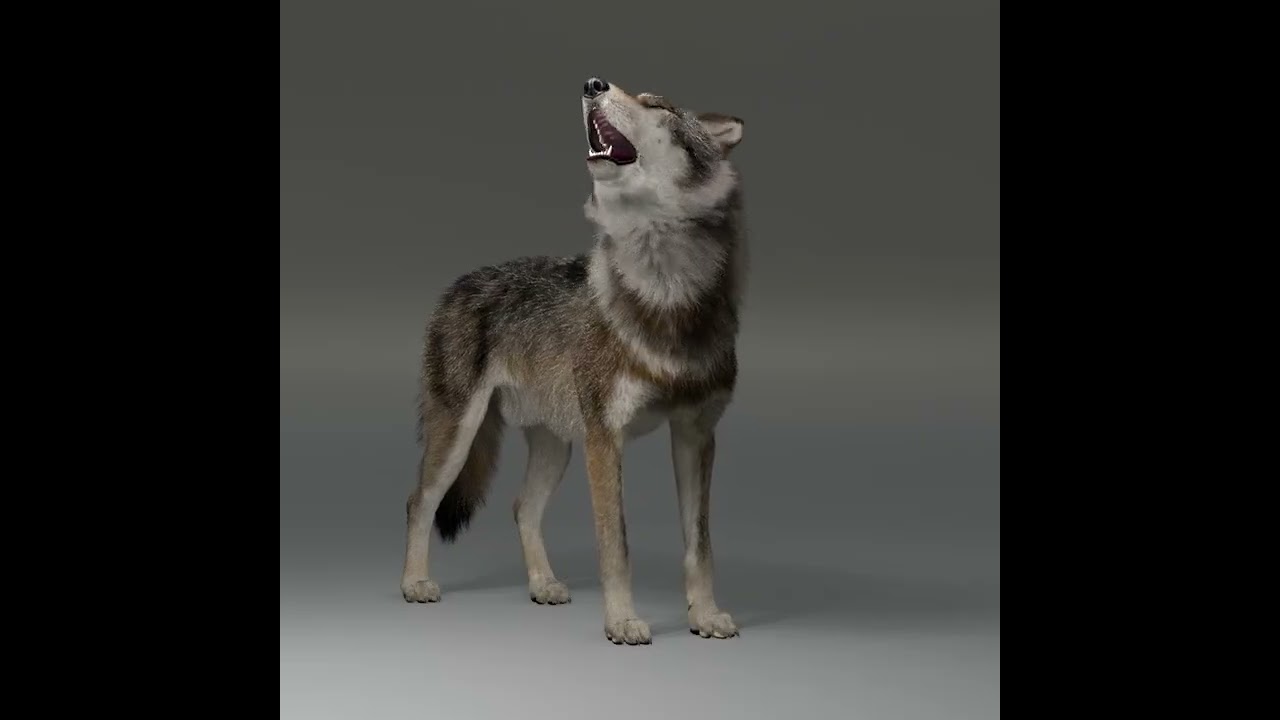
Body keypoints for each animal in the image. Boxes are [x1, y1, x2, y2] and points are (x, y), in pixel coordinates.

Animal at [400, 77, 747, 646]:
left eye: (656, 104)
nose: (592, 83)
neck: (665, 291)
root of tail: (460, 282)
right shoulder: (606, 440)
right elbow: (616, 544)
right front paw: (623, 621)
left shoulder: (696, 435)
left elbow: (700, 545)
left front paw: (704, 615)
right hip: (460, 434)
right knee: (419, 502)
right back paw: (415, 584)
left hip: (557, 445)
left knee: (521, 508)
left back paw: (542, 585)